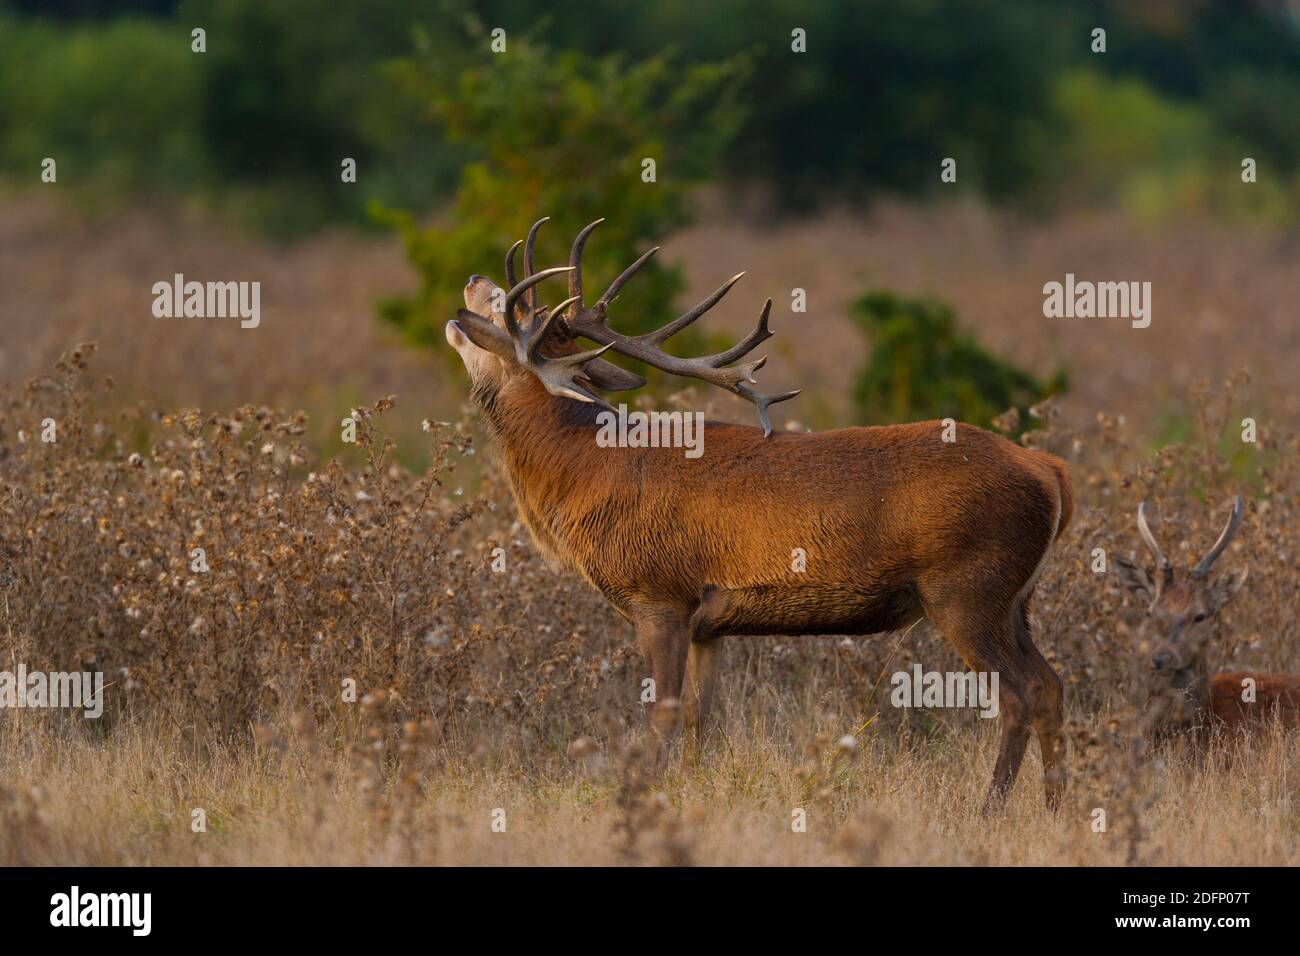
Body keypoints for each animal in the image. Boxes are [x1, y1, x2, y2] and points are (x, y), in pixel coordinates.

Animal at [444, 218, 1075, 814]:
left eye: (507, 310)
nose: (471, 280)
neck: (584, 473)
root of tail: (1049, 469)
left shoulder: (660, 595)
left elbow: (662, 717)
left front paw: (641, 798)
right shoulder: (708, 623)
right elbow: (700, 718)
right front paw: (689, 793)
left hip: (966, 588)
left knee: (1019, 693)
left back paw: (990, 811)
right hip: (1014, 598)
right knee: (1051, 685)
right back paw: (1053, 809)